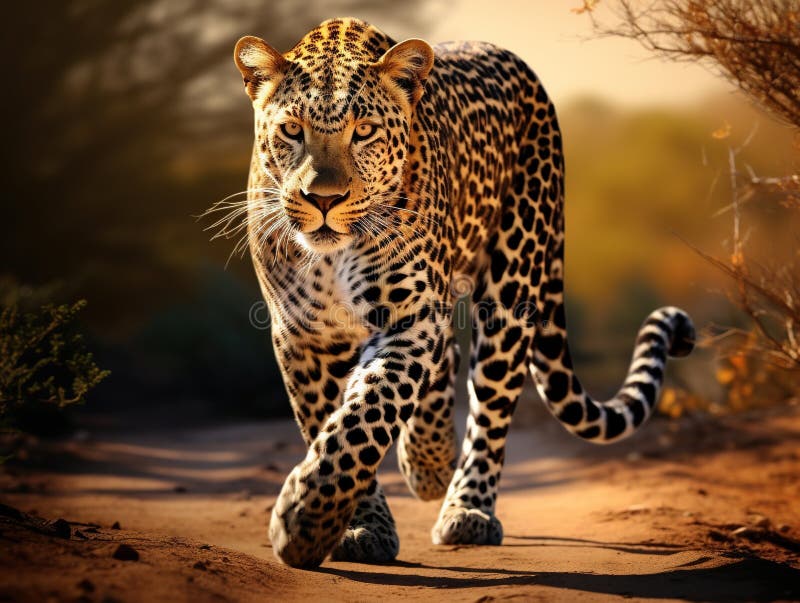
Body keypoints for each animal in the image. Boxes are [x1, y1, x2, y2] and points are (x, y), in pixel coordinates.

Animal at [225, 17, 695, 568]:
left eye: (363, 132)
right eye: (292, 130)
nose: (324, 199)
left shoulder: (409, 316)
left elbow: (368, 413)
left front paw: (306, 519)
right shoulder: (302, 335)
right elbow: (331, 421)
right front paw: (355, 525)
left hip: (514, 284)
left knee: (489, 407)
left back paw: (462, 504)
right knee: (444, 361)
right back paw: (429, 460)